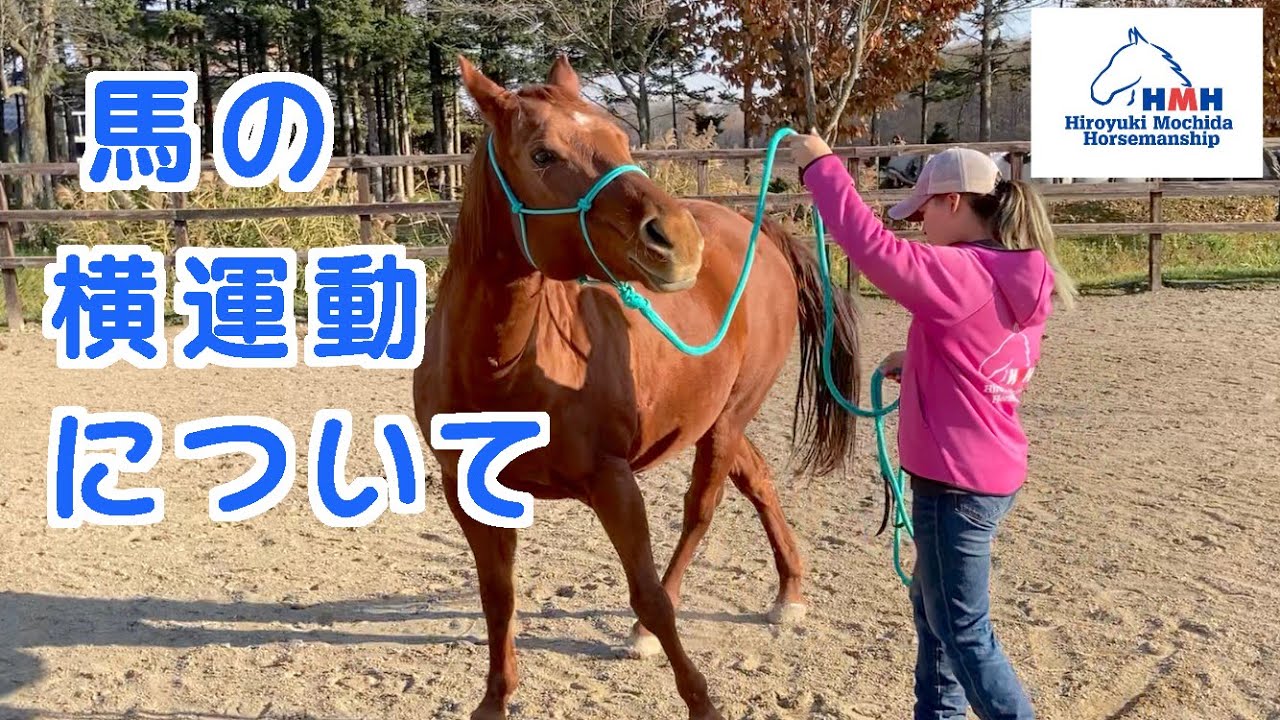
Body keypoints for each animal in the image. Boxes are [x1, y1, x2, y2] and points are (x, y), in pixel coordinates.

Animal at [412, 55, 863, 720]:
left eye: (621, 141)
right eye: (543, 154)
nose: (677, 240)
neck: (502, 367)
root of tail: (753, 230)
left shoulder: (614, 482)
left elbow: (647, 593)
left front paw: (701, 701)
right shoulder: (465, 490)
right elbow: (497, 597)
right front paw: (494, 701)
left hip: (727, 419)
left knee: (700, 514)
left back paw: (662, 629)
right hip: (712, 417)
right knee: (757, 478)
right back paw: (790, 591)